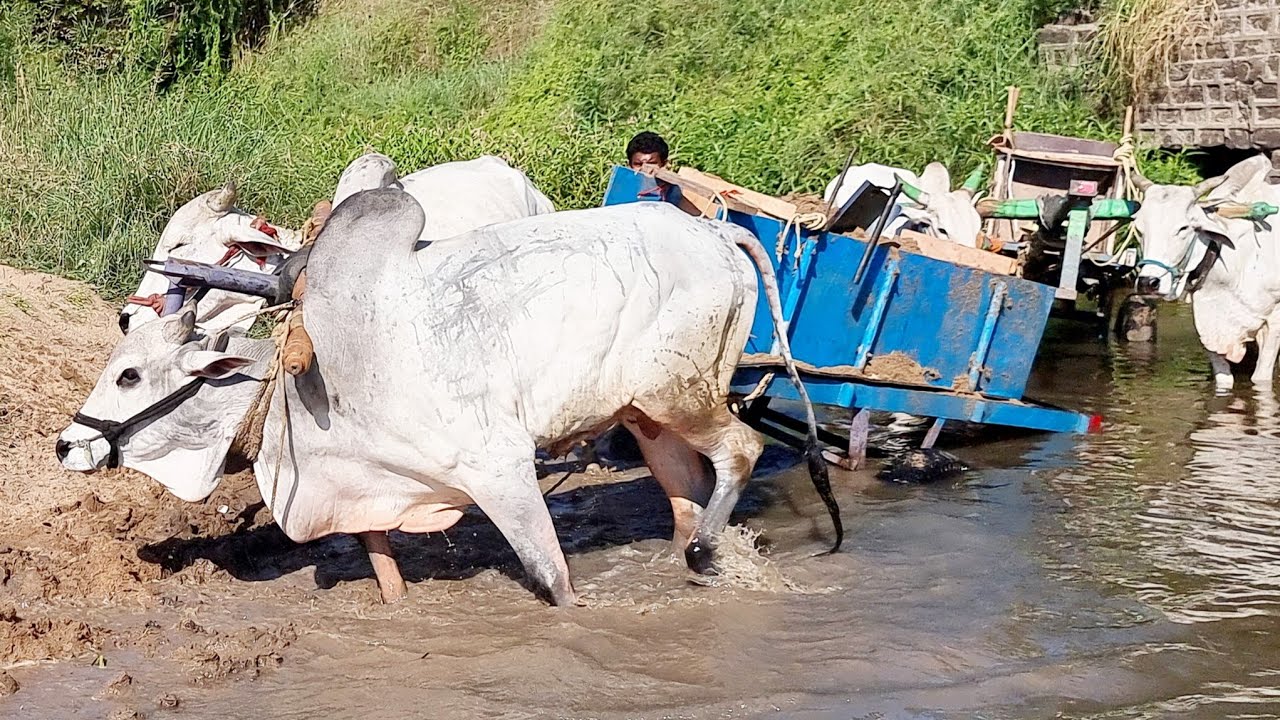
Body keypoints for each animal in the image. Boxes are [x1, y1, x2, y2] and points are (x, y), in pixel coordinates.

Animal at [57, 195, 841, 607]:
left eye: (128, 376)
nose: (67, 443)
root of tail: (715, 227)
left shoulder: (499, 469)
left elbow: (553, 579)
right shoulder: (371, 488)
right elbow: (384, 568)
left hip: (679, 393)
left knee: (743, 448)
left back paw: (709, 553)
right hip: (646, 416)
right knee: (685, 493)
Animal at [1132, 154, 1280, 392]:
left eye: (1184, 228)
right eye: (1139, 227)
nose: (1149, 282)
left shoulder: (1274, 320)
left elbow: (1261, 379)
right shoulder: (1208, 324)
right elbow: (1223, 379)